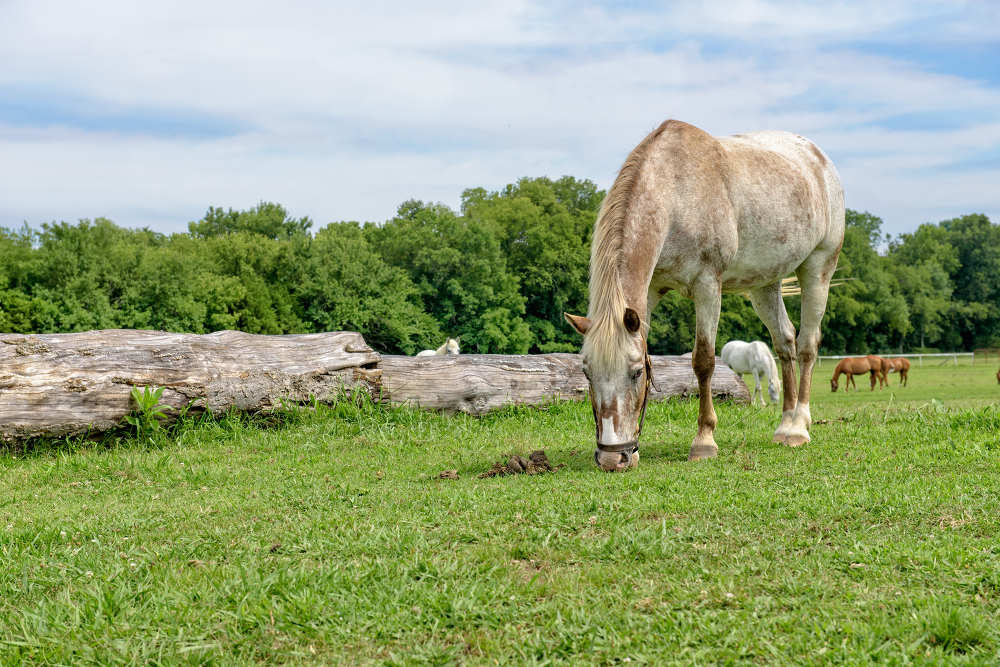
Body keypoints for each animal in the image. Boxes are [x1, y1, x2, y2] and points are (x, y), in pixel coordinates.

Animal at [563, 120, 844, 470]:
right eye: (587, 373)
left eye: (637, 372)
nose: (613, 459)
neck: (675, 191)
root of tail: (819, 158)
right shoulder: (650, 291)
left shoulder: (708, 285)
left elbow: (704, 361)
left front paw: (704, 441)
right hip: (764, 284)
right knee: (785, 342)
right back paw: (784, 424)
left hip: (819, 270)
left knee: (806, 345)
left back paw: (799, 428)